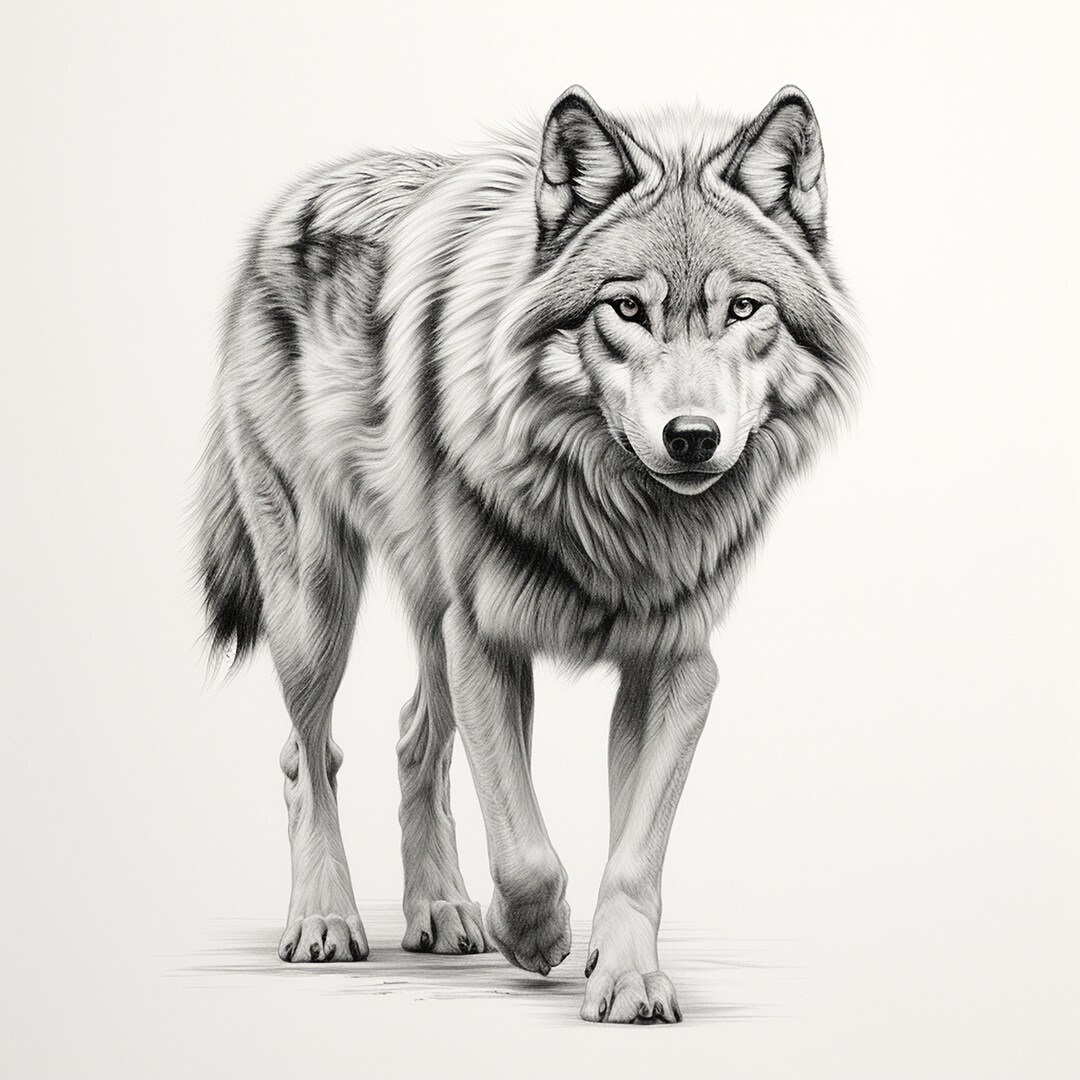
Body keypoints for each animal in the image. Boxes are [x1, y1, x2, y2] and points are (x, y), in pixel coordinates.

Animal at [196, 84, 861, 1023]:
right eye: (626, 309)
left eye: (744, 309)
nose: (693, 438)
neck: (619, 522)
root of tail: (290, 200)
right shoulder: (489, 644)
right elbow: (526, 851)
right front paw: (539, 937)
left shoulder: (678, 665)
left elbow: (635, 854)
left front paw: (628, 977)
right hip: (315, 609)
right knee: (307, 754)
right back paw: (325, 918)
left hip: (429, 617)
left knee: (412, 738)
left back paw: (441, 910)